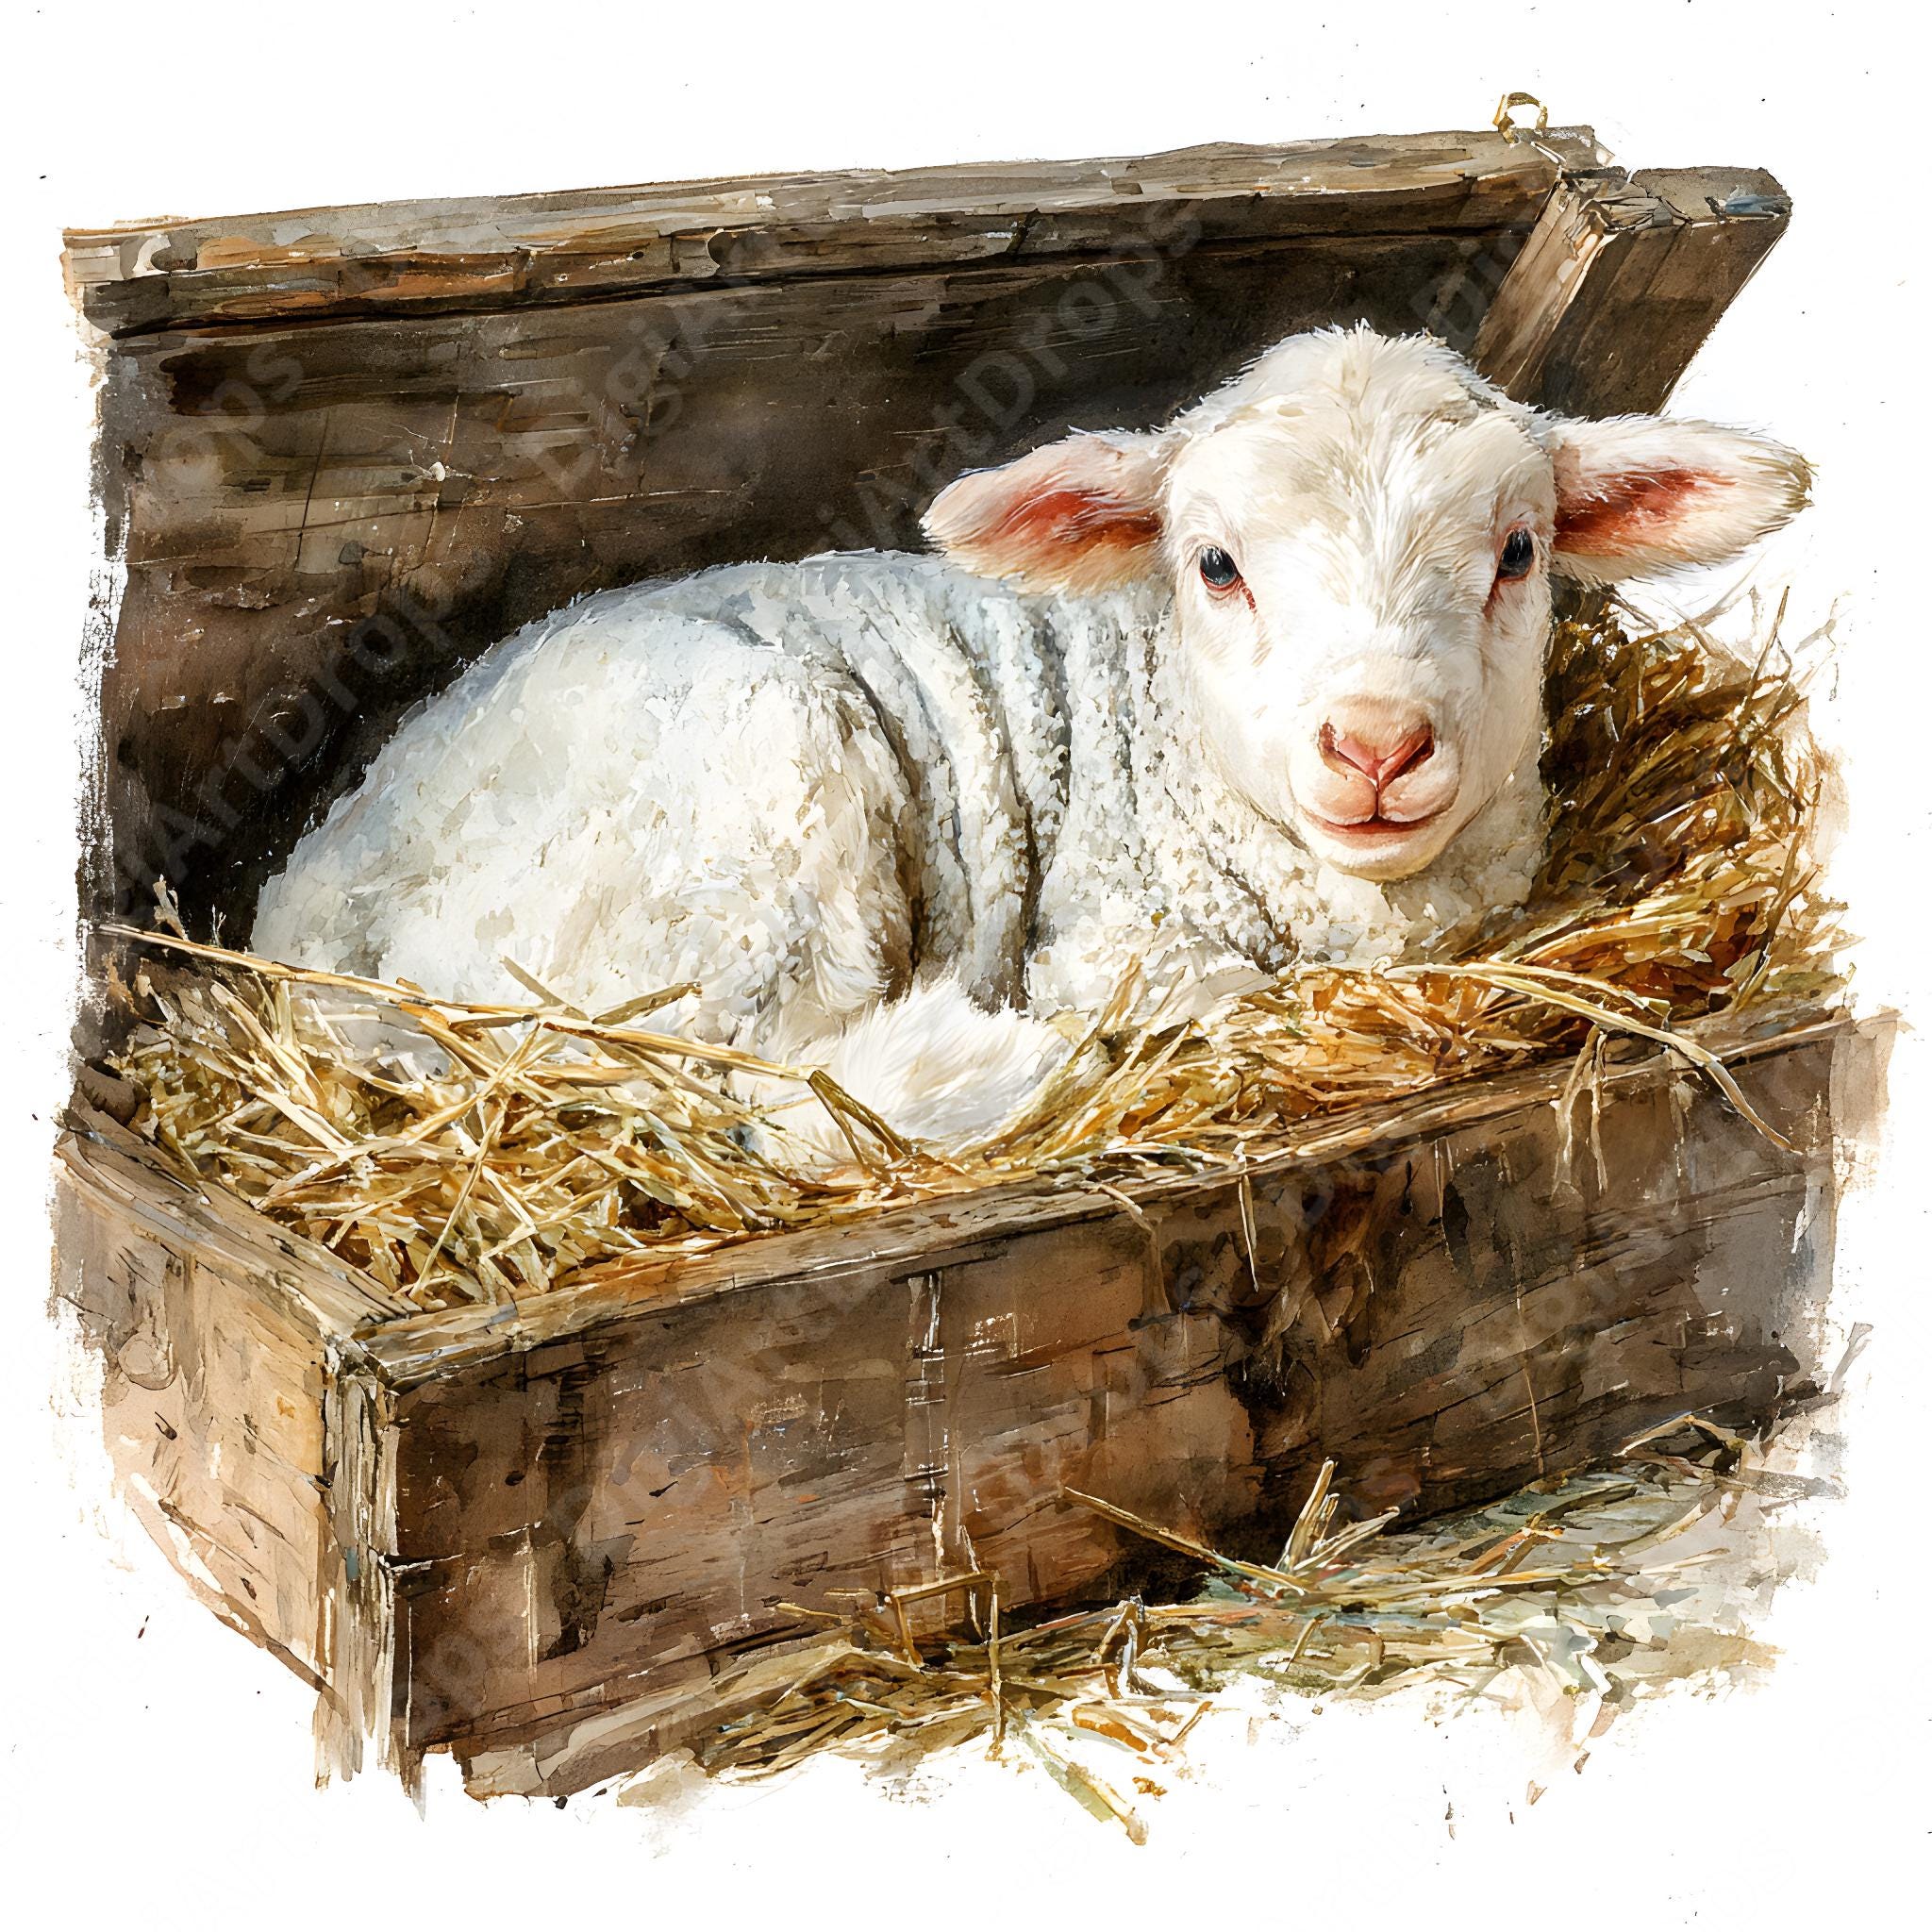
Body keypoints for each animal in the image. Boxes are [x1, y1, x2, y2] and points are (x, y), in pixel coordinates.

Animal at [252, 326, 1809, 1151]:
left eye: (1520, 552)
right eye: (1216, 566)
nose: (1374, 744)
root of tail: (303, 912)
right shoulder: (1110, 932)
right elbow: (1222, 996)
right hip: (748, 831)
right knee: (767, 1083)